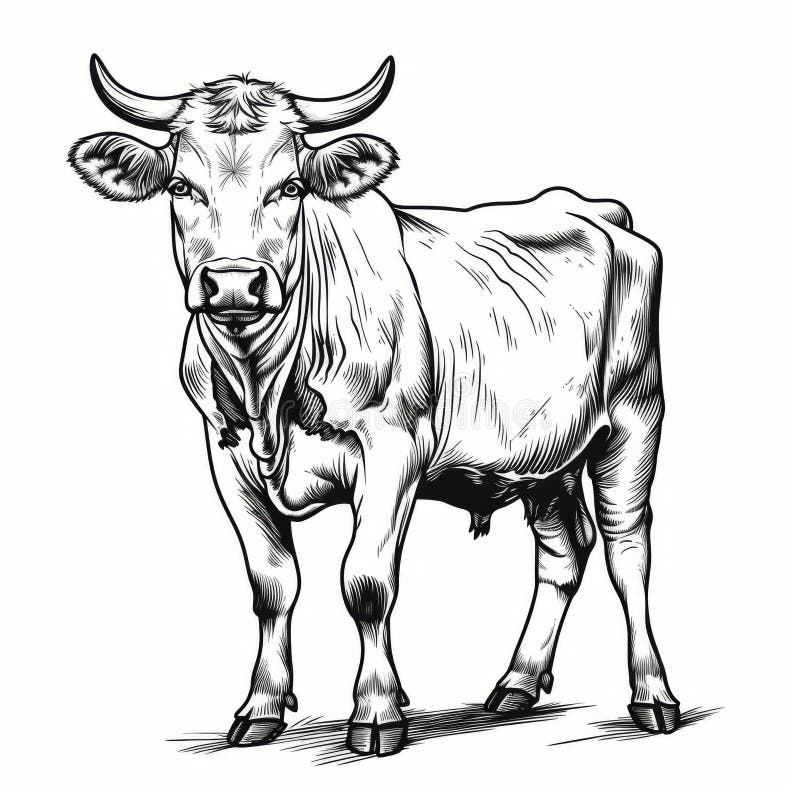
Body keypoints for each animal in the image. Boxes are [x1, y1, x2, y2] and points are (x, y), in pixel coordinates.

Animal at [69, 55, 680, 756]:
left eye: (291, 187)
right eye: (179, 185)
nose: (233, 283)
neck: (265, 383)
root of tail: (589, 207)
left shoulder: (392, 451)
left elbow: (366, 583)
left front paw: (378, 711)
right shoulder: (227, 457)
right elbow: (272, 586)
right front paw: (261, 707)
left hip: (632, 421)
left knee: (627, 553)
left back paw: (652, 696)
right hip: (545, 458)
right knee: (562, 554)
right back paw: (517, 684)